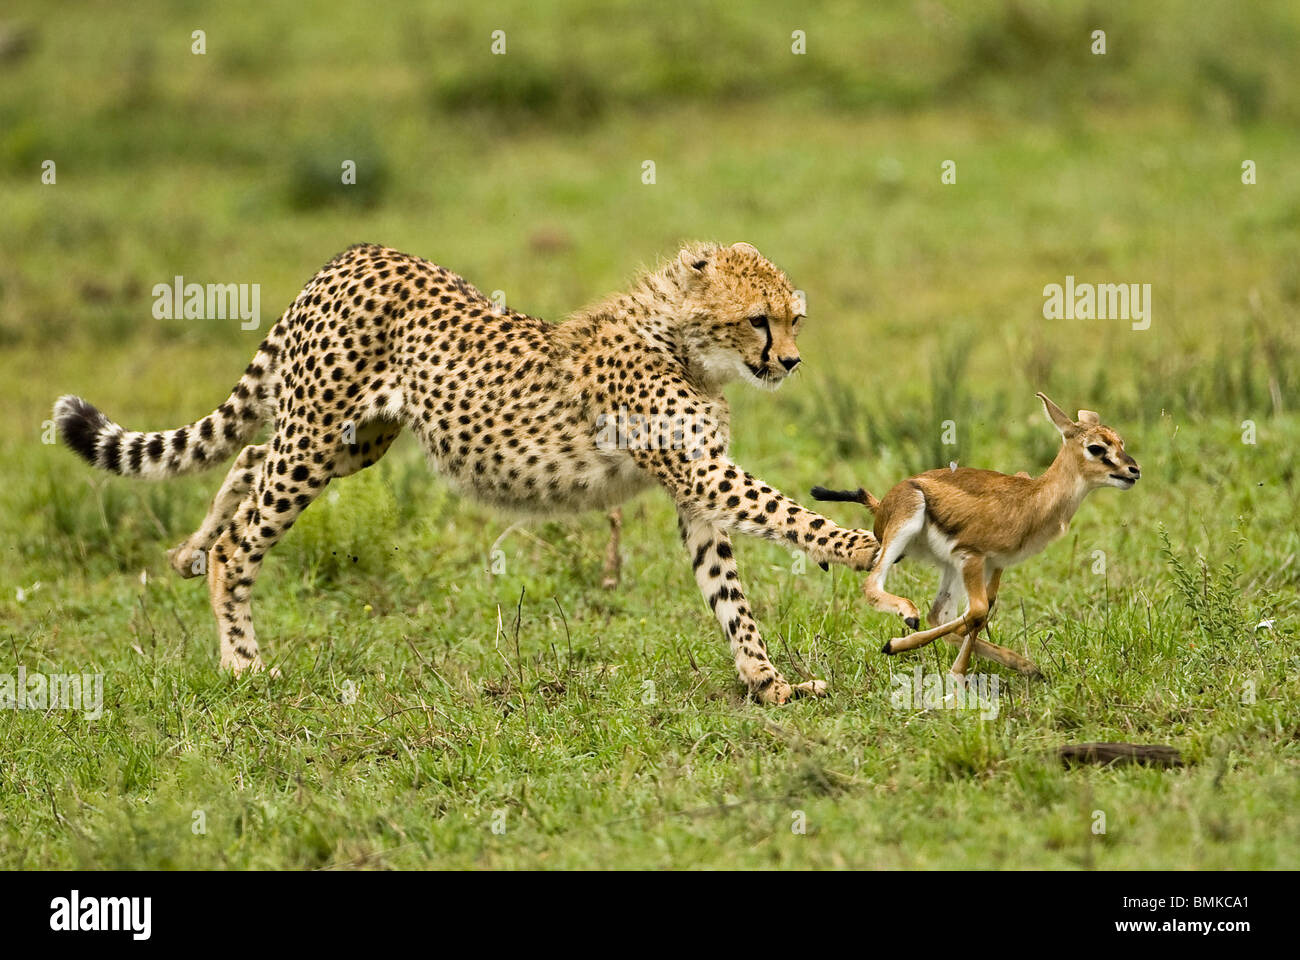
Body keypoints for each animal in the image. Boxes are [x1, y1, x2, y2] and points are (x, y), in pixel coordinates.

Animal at [54, 241, 879, 704]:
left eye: (795, 319)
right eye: (759, 319)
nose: (791, 362)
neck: (682, 342)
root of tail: (355, 255)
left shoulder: (696, 490)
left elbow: (732, 598)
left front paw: (769, 684)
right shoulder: (703, 473)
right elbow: (791, 517)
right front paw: (869, 547)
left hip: (351, 441)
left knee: (250, 457)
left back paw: (188, 550)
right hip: (317, 440)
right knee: (244, 538)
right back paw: (243, 660)